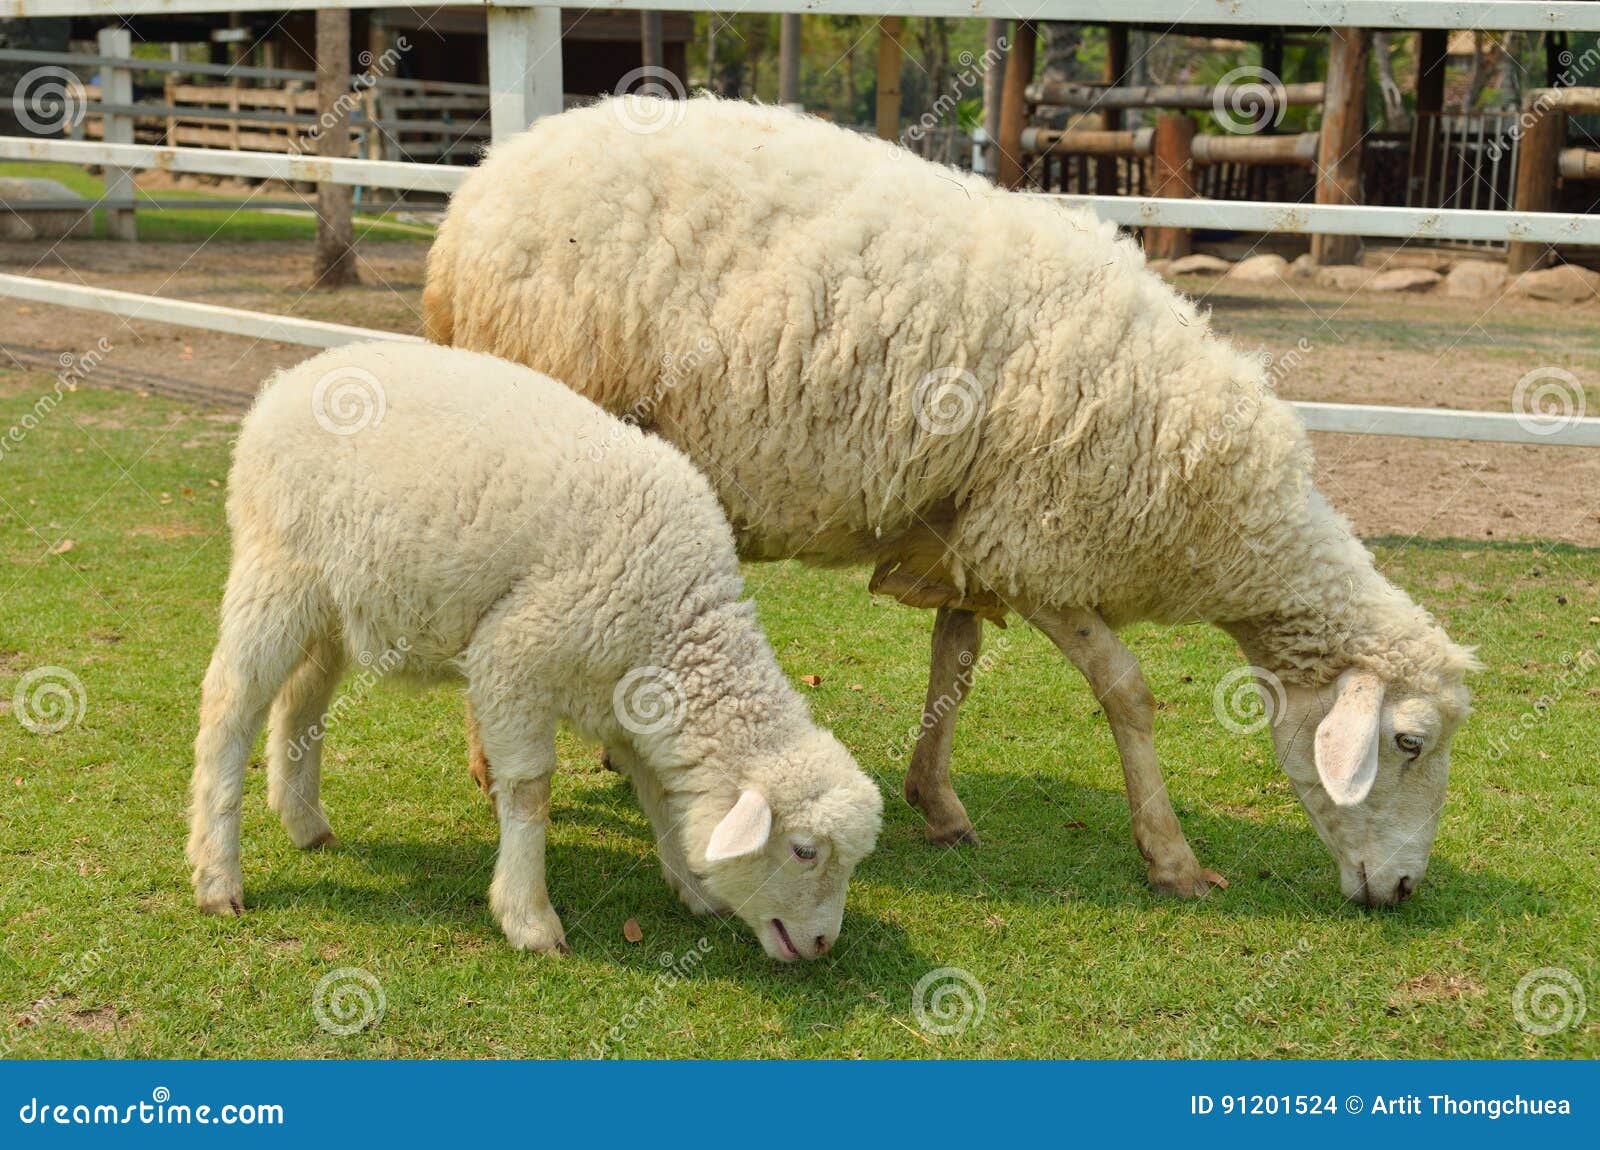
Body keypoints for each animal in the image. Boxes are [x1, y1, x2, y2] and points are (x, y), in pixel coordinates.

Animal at [185, 341, 883, 958]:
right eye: (803, 850)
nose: (823, 945)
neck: (674, 622)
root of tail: (290, 379)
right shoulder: (514, 659)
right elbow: (529, 791)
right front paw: (529, 918)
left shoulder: (627, 703)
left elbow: (662, 796)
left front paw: (693, 886)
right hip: (277, 567)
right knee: (230, 707)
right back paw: (218, 877)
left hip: (337, 601)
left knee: (300, 703)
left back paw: (305, 824)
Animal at [422, 96, 1478, 907]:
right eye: (1410, 742)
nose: (1402, 890)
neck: (1219, 510)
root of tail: (474, 200)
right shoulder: (1039, 540)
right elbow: (1126, 692)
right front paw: (1173, 858)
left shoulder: (971, 529)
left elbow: (955, 663)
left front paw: (937, 801)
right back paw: (485, 766)